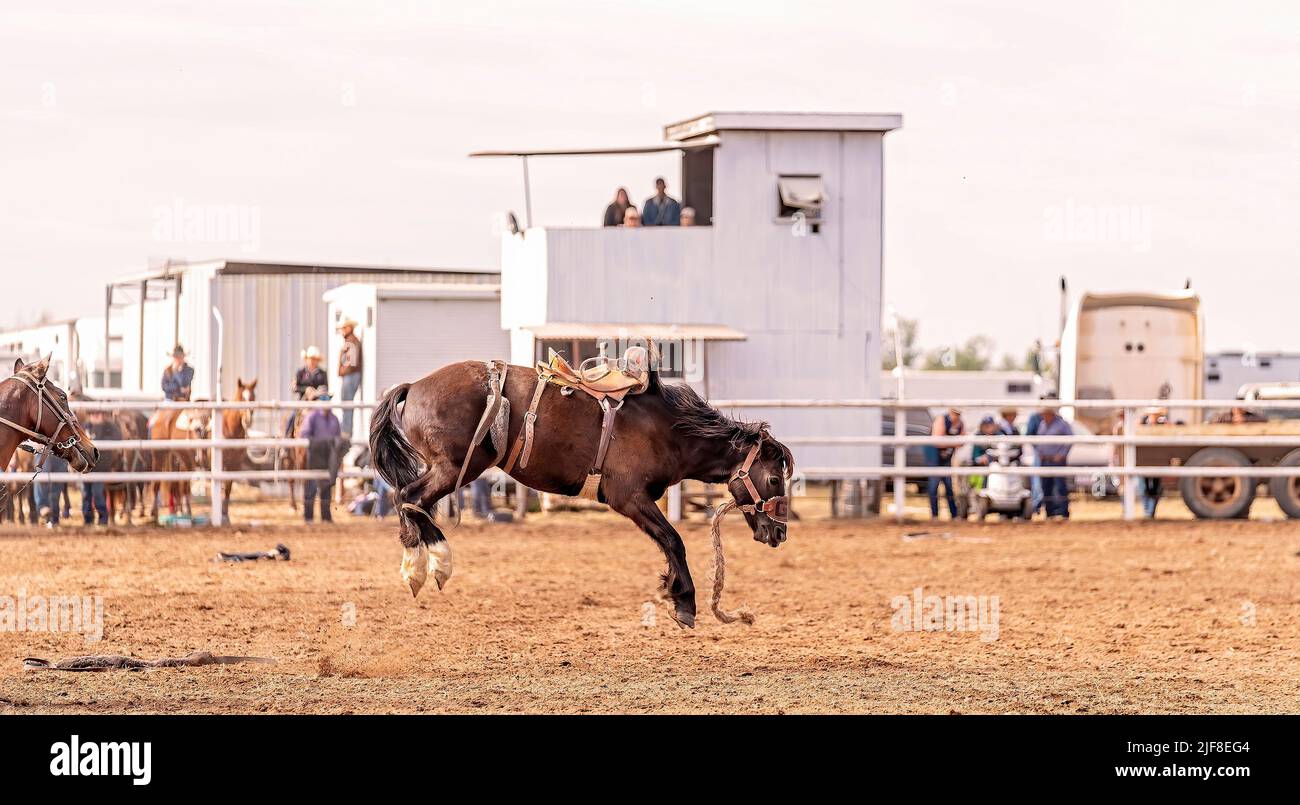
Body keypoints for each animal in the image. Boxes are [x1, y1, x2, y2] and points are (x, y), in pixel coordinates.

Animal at [368, 358, 793, 629]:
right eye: (774, 480)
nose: (779, 533)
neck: (668, 427)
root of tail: (414, 386)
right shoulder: (630, 497)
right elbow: (673, 539)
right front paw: (684, 601)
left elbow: (668, 542)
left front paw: (673, 591)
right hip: (454, 467)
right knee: (410, 497)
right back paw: (432, 564)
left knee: (411, 501)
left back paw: (417, 566)